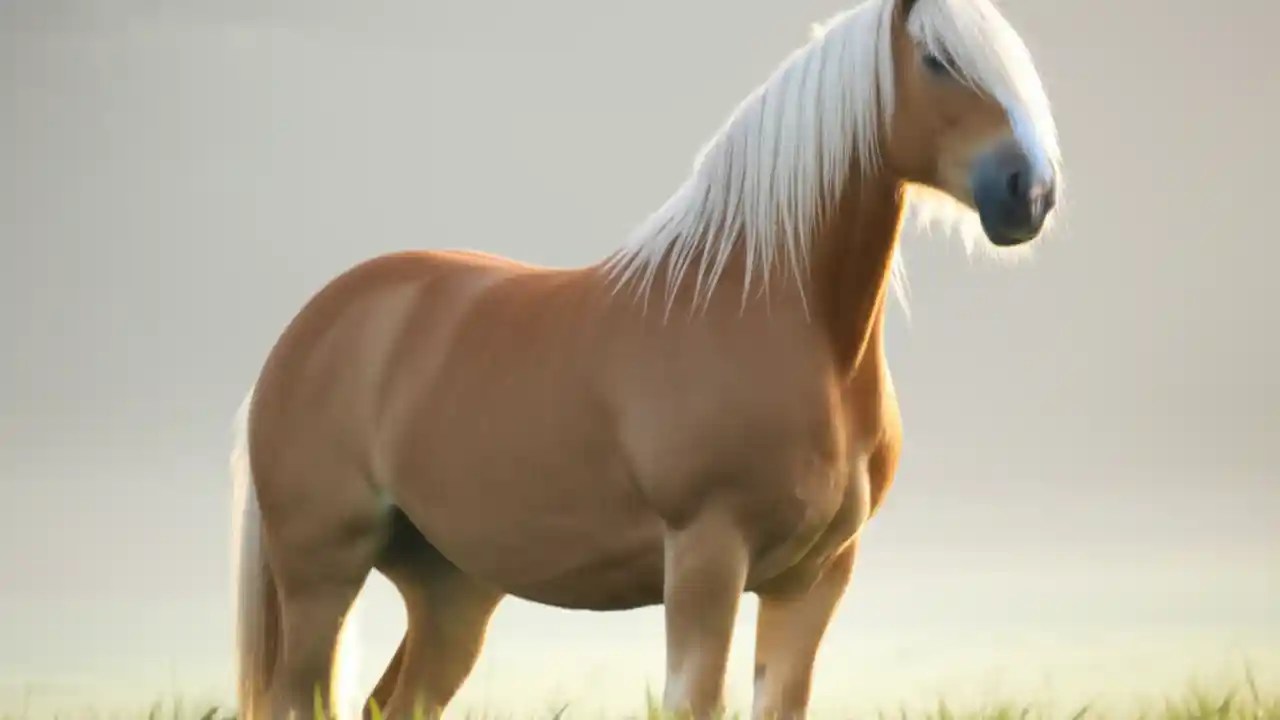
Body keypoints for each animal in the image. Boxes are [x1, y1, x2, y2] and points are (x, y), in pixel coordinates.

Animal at [229, 0, 1062, 717]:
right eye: (937, 59)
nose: (1031, 191)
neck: (769, 315)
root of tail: (310, 327)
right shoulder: (706, 555)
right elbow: (695, 701)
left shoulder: (816, 577)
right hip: (321, 571)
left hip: (451, 589)